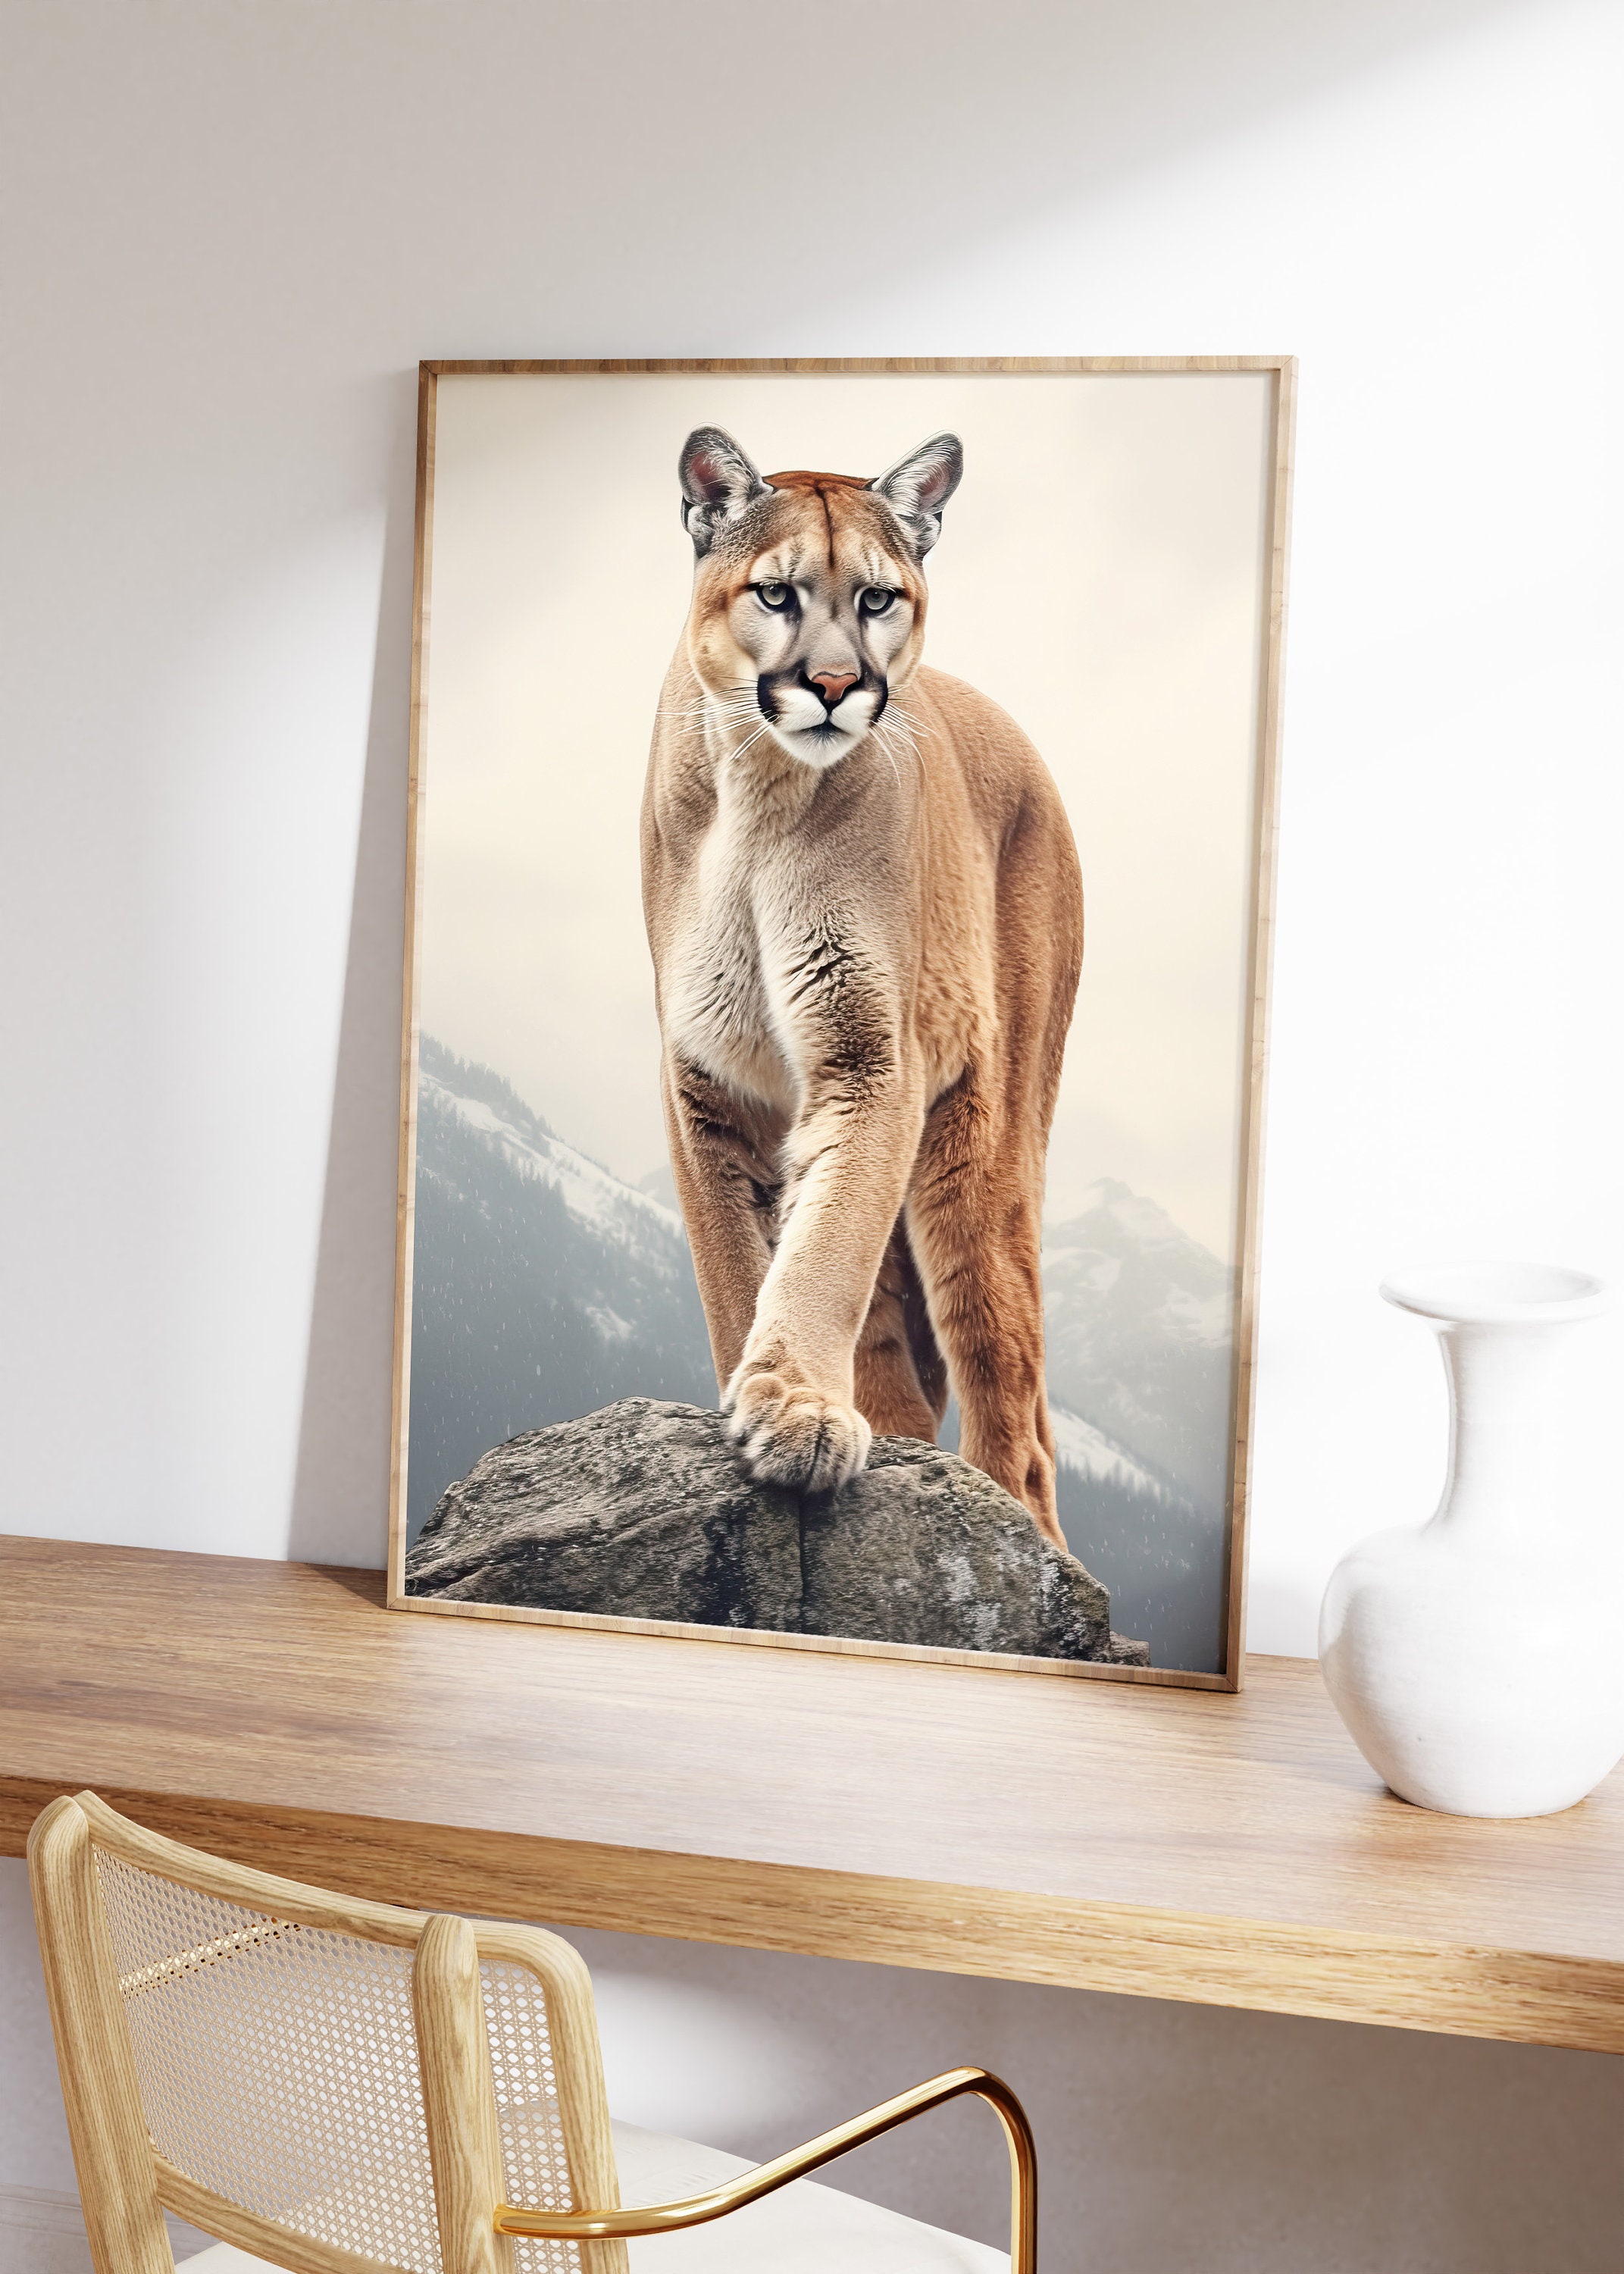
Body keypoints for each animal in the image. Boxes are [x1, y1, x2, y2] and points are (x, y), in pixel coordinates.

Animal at [640, 425, 1083, 1548]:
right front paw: (773, 1405)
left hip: (979, 1156)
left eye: (878, 598)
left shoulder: (871, 1057)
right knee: (902, 1368)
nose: (836, 685)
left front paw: (795, 1409)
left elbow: (819, 1255)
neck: (755, 802)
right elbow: (741, 1269)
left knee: (1014, 1416)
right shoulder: (706, 1082)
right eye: (777, 593)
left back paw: (1006, 1525)